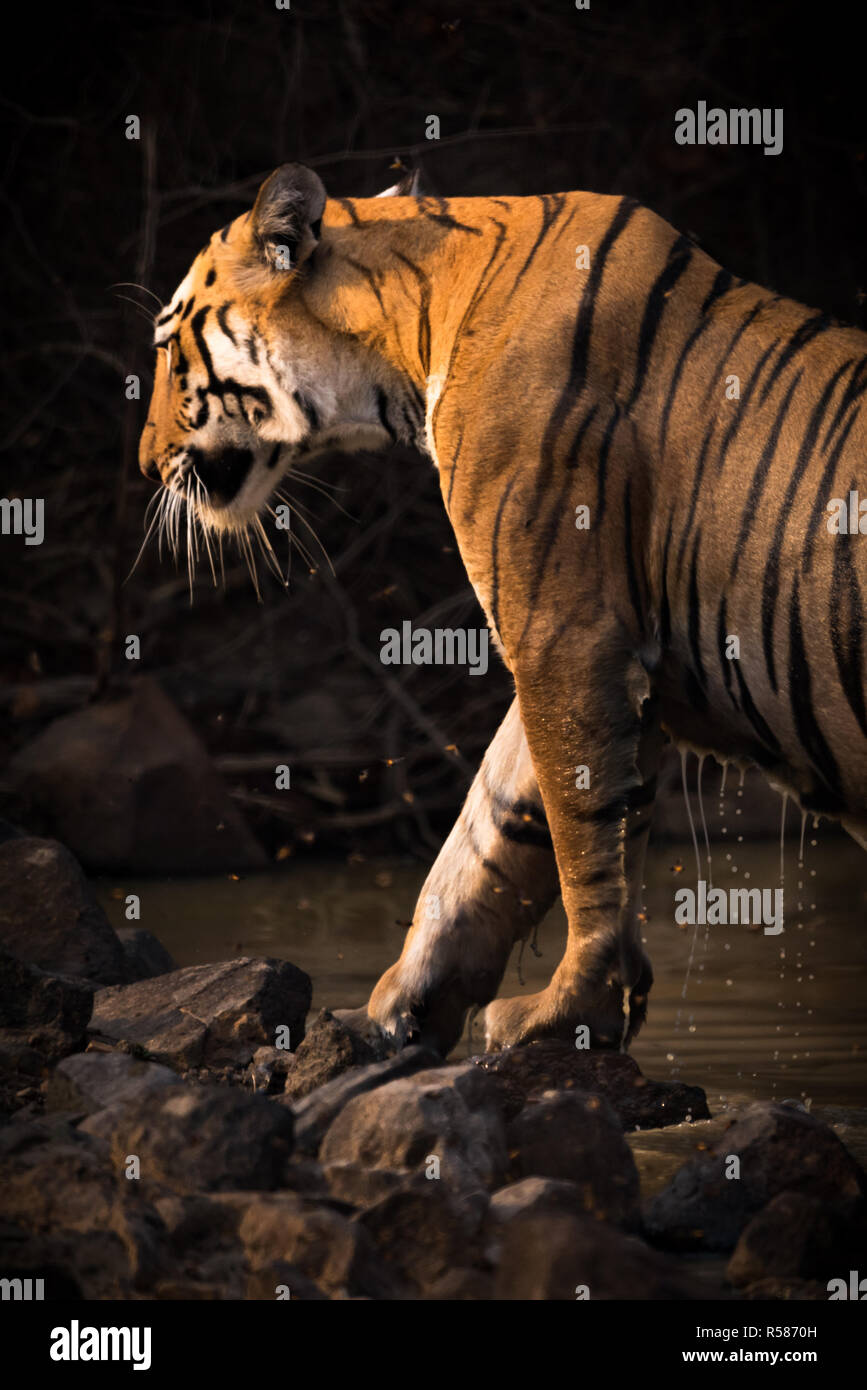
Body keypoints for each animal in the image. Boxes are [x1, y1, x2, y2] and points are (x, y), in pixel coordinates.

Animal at [139, 162, 867, 1058]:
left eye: (168, 350)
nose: (145, 466)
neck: (401, 345)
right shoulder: (588, 640)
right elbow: (492, 826)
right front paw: (398, 1005)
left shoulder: (563, 636)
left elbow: (581, 834)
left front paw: (571, 1009)